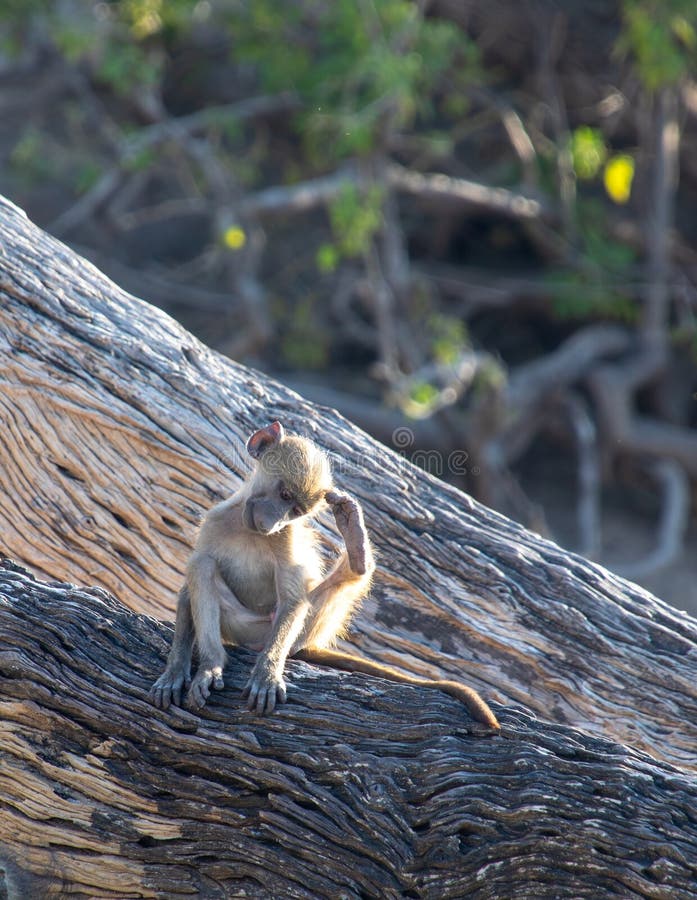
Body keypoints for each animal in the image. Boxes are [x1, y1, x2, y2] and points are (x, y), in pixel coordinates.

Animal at [149, 421, 500, 731]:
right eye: (285, 495)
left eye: (296, 511)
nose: (270, 523)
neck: (250, 532)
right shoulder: (214, 523)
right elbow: (188, 588)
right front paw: (175, 670)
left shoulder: (286, 540)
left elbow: (293, 600)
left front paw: (267, 674)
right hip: (241, 626)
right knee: (203, 567)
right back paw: (212, 665)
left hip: (289, 631)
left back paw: (356, 552)